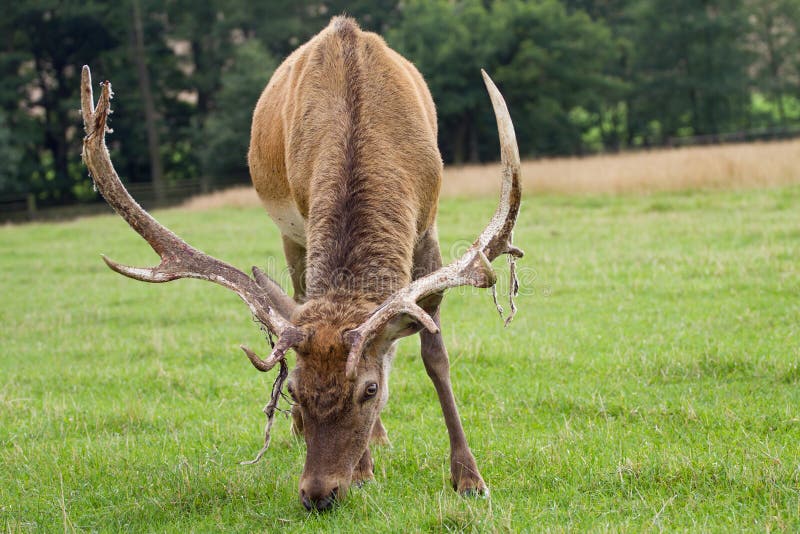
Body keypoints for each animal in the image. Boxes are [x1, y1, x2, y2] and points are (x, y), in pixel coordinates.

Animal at [80, 16, 521, 512]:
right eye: (293, 388)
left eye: (369, 389)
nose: (318, 493)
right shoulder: (306, 220)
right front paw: (363, 470)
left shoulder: (427, 227)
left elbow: (435, 355)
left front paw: (469, 478)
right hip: (291, 236)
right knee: (294, 297)